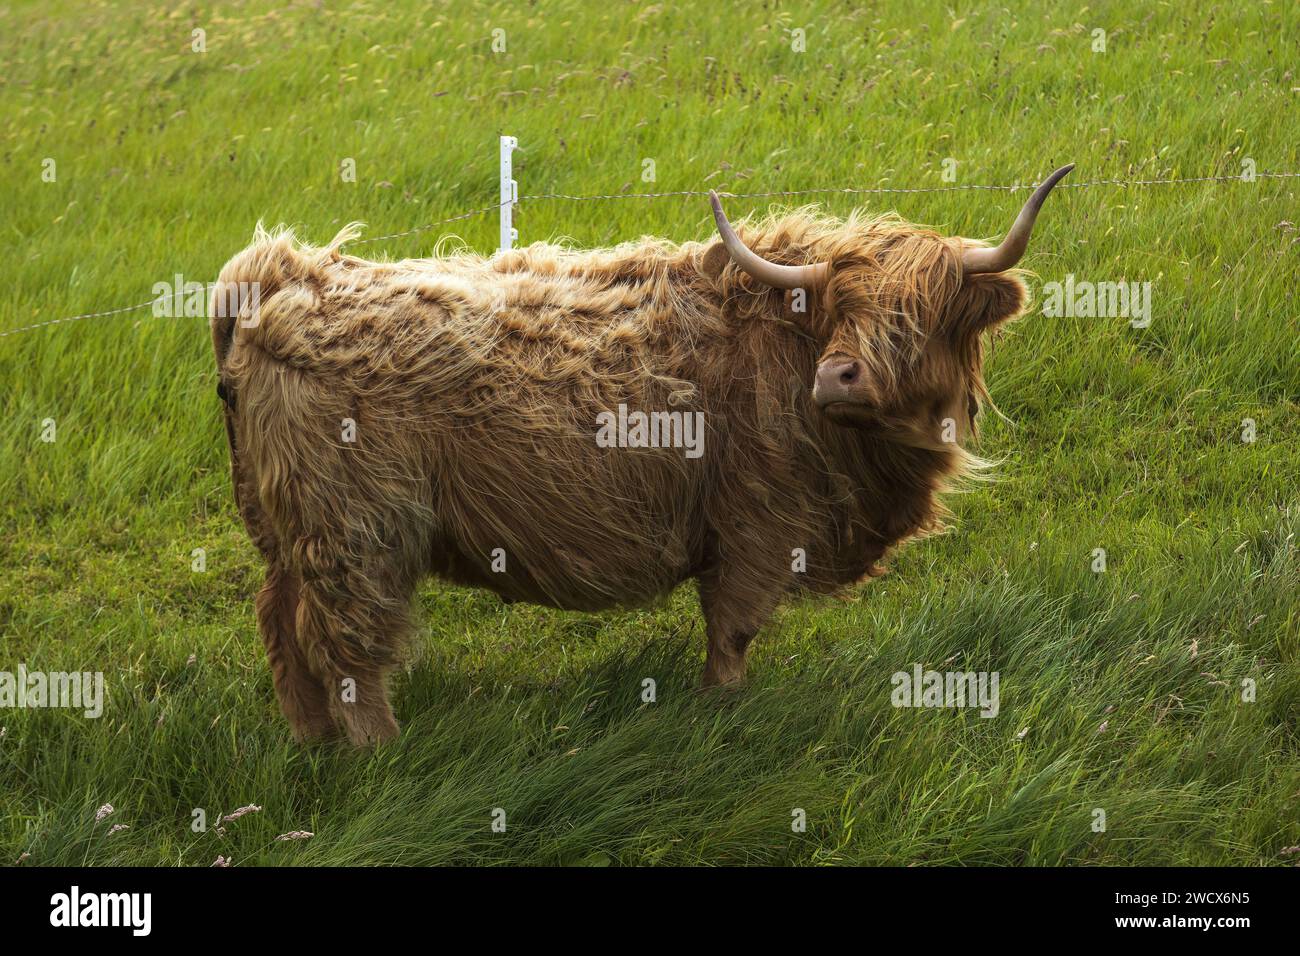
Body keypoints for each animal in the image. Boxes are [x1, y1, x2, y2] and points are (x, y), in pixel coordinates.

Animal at [210, 165, 1073, 745]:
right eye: (836, 306)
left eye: (926, 311)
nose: (839, 375)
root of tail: (274, 277)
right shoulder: (757, 529)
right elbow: (732, 633)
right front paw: (722, 714)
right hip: (358, 533)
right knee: (346, 646)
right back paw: (382, 757)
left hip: (292, 532)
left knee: (281, 625)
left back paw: (315, 745)